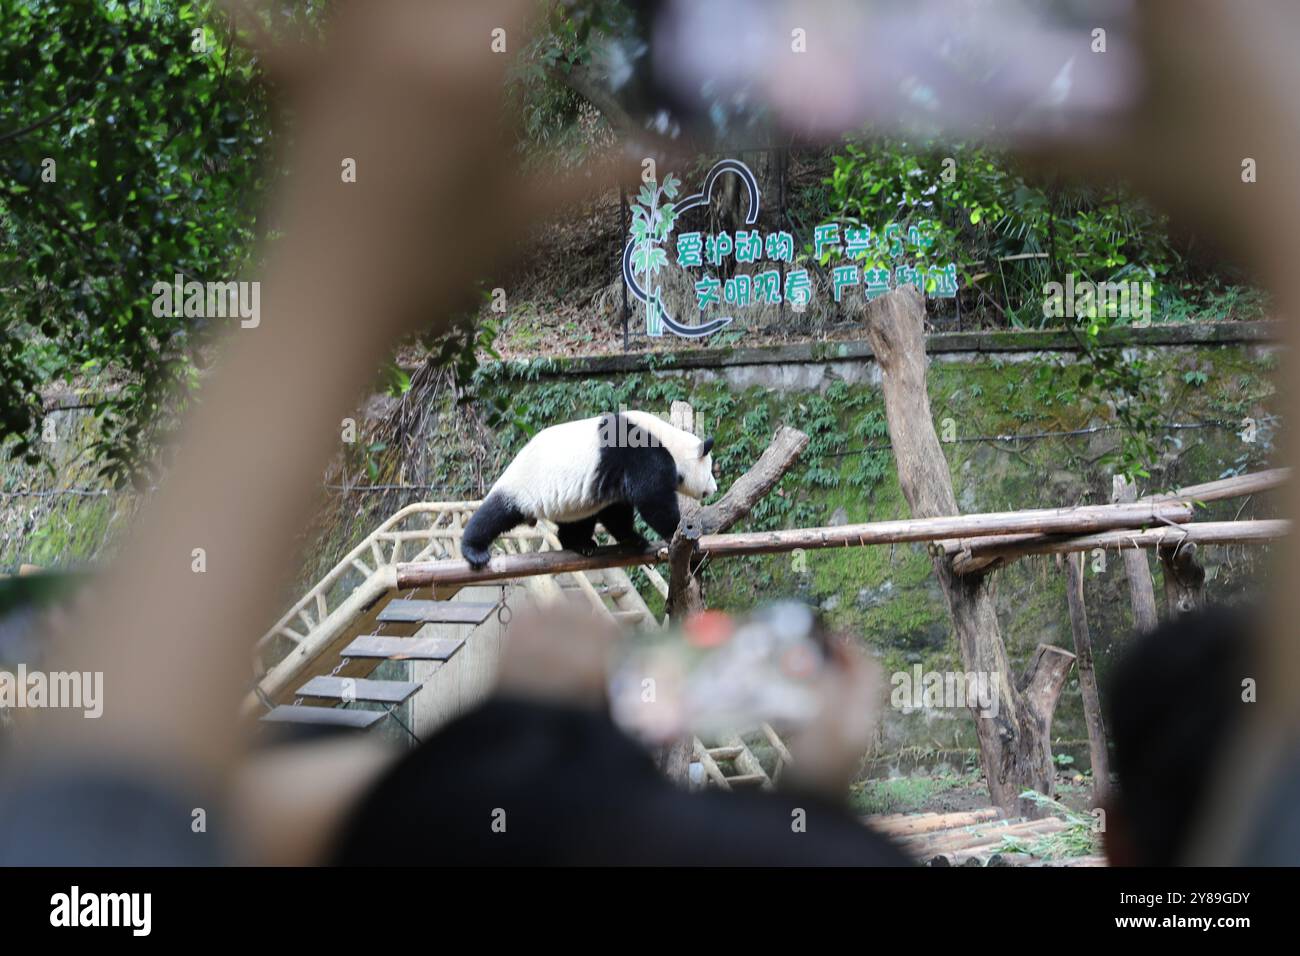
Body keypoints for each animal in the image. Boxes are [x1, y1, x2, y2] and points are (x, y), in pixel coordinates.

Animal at [460, 410, 718, 570]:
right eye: (709, 470)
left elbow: (616, 511)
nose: (714, 488)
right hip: (524, 485)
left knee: (578, 521)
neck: (670, 441)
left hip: (573, 502)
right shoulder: (642, 455)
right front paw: (681, 535)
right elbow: (653, 499)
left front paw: (633, 539)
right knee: (495, 514)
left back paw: (580, 544)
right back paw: (474, 550)